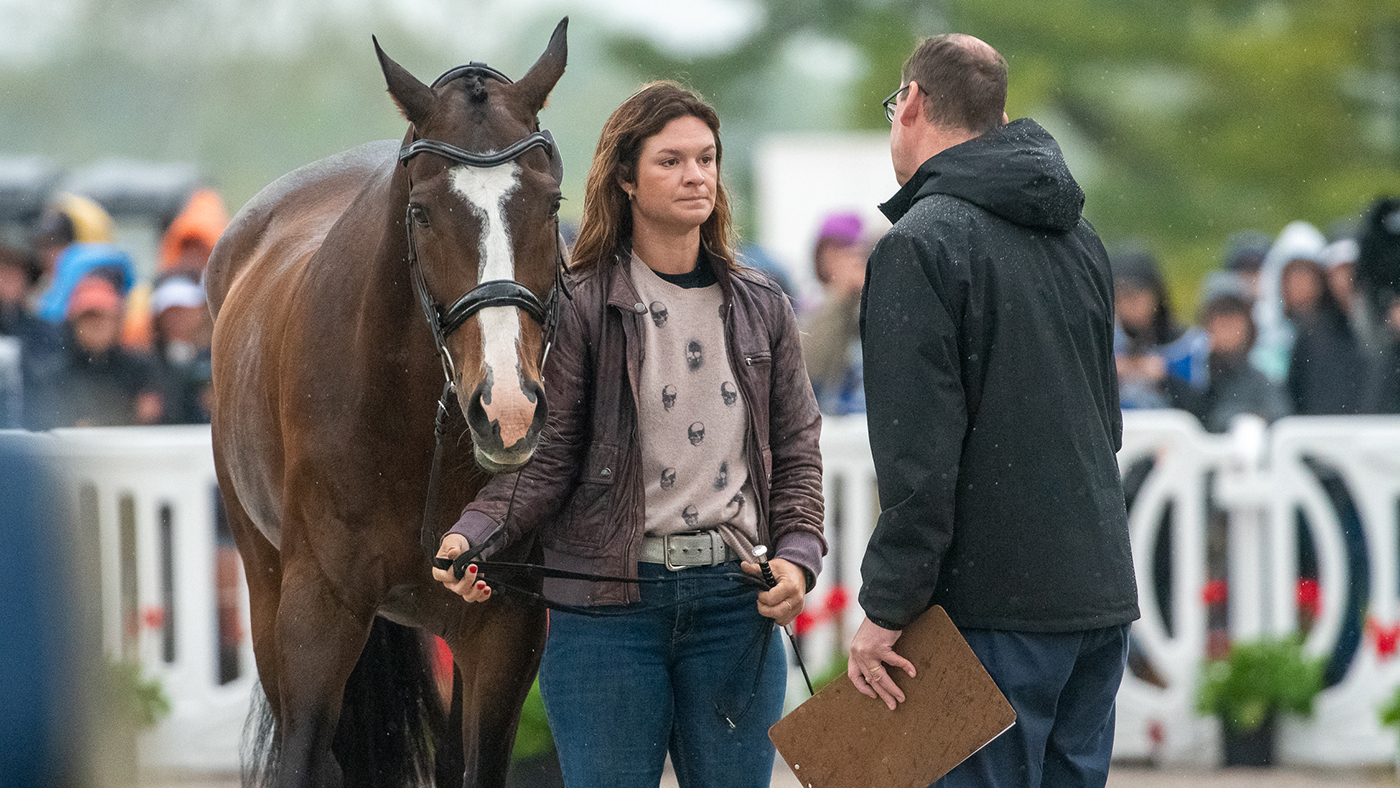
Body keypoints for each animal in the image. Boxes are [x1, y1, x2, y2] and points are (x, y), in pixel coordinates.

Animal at [204, 19, 569, 788]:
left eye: (551, 203)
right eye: (422, 211)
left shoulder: (502, 631)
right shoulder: (317, 616)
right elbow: (306, 756)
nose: (509, 411)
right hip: (262, 581)